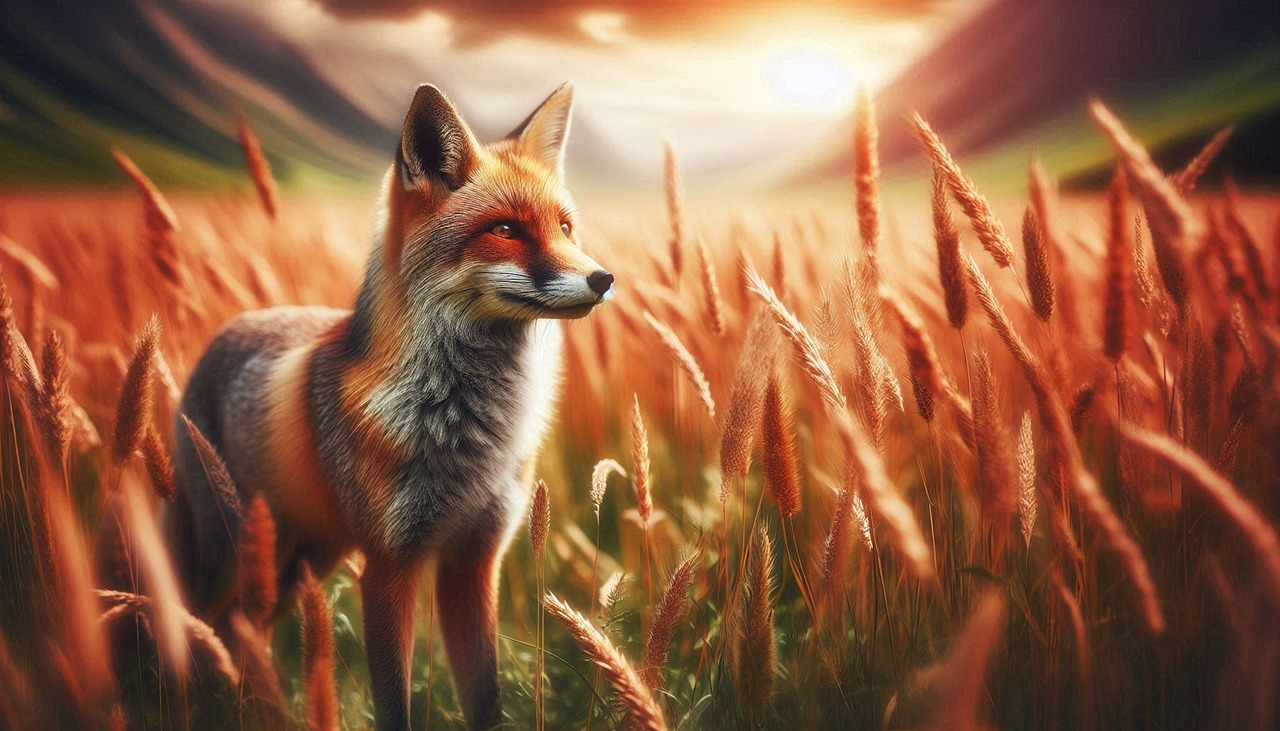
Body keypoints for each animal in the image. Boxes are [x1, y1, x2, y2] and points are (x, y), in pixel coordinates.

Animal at [163, 82, 611, 730]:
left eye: (566, 227)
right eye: (505, 228)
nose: (603, 279)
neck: (465, 431)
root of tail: (231, 326)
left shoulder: (475, 560)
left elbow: (485, 698)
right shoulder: (389, 566)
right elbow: (394, 703)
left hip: (303, 558)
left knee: (242, 633)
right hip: (233, 553)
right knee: (199, 626)